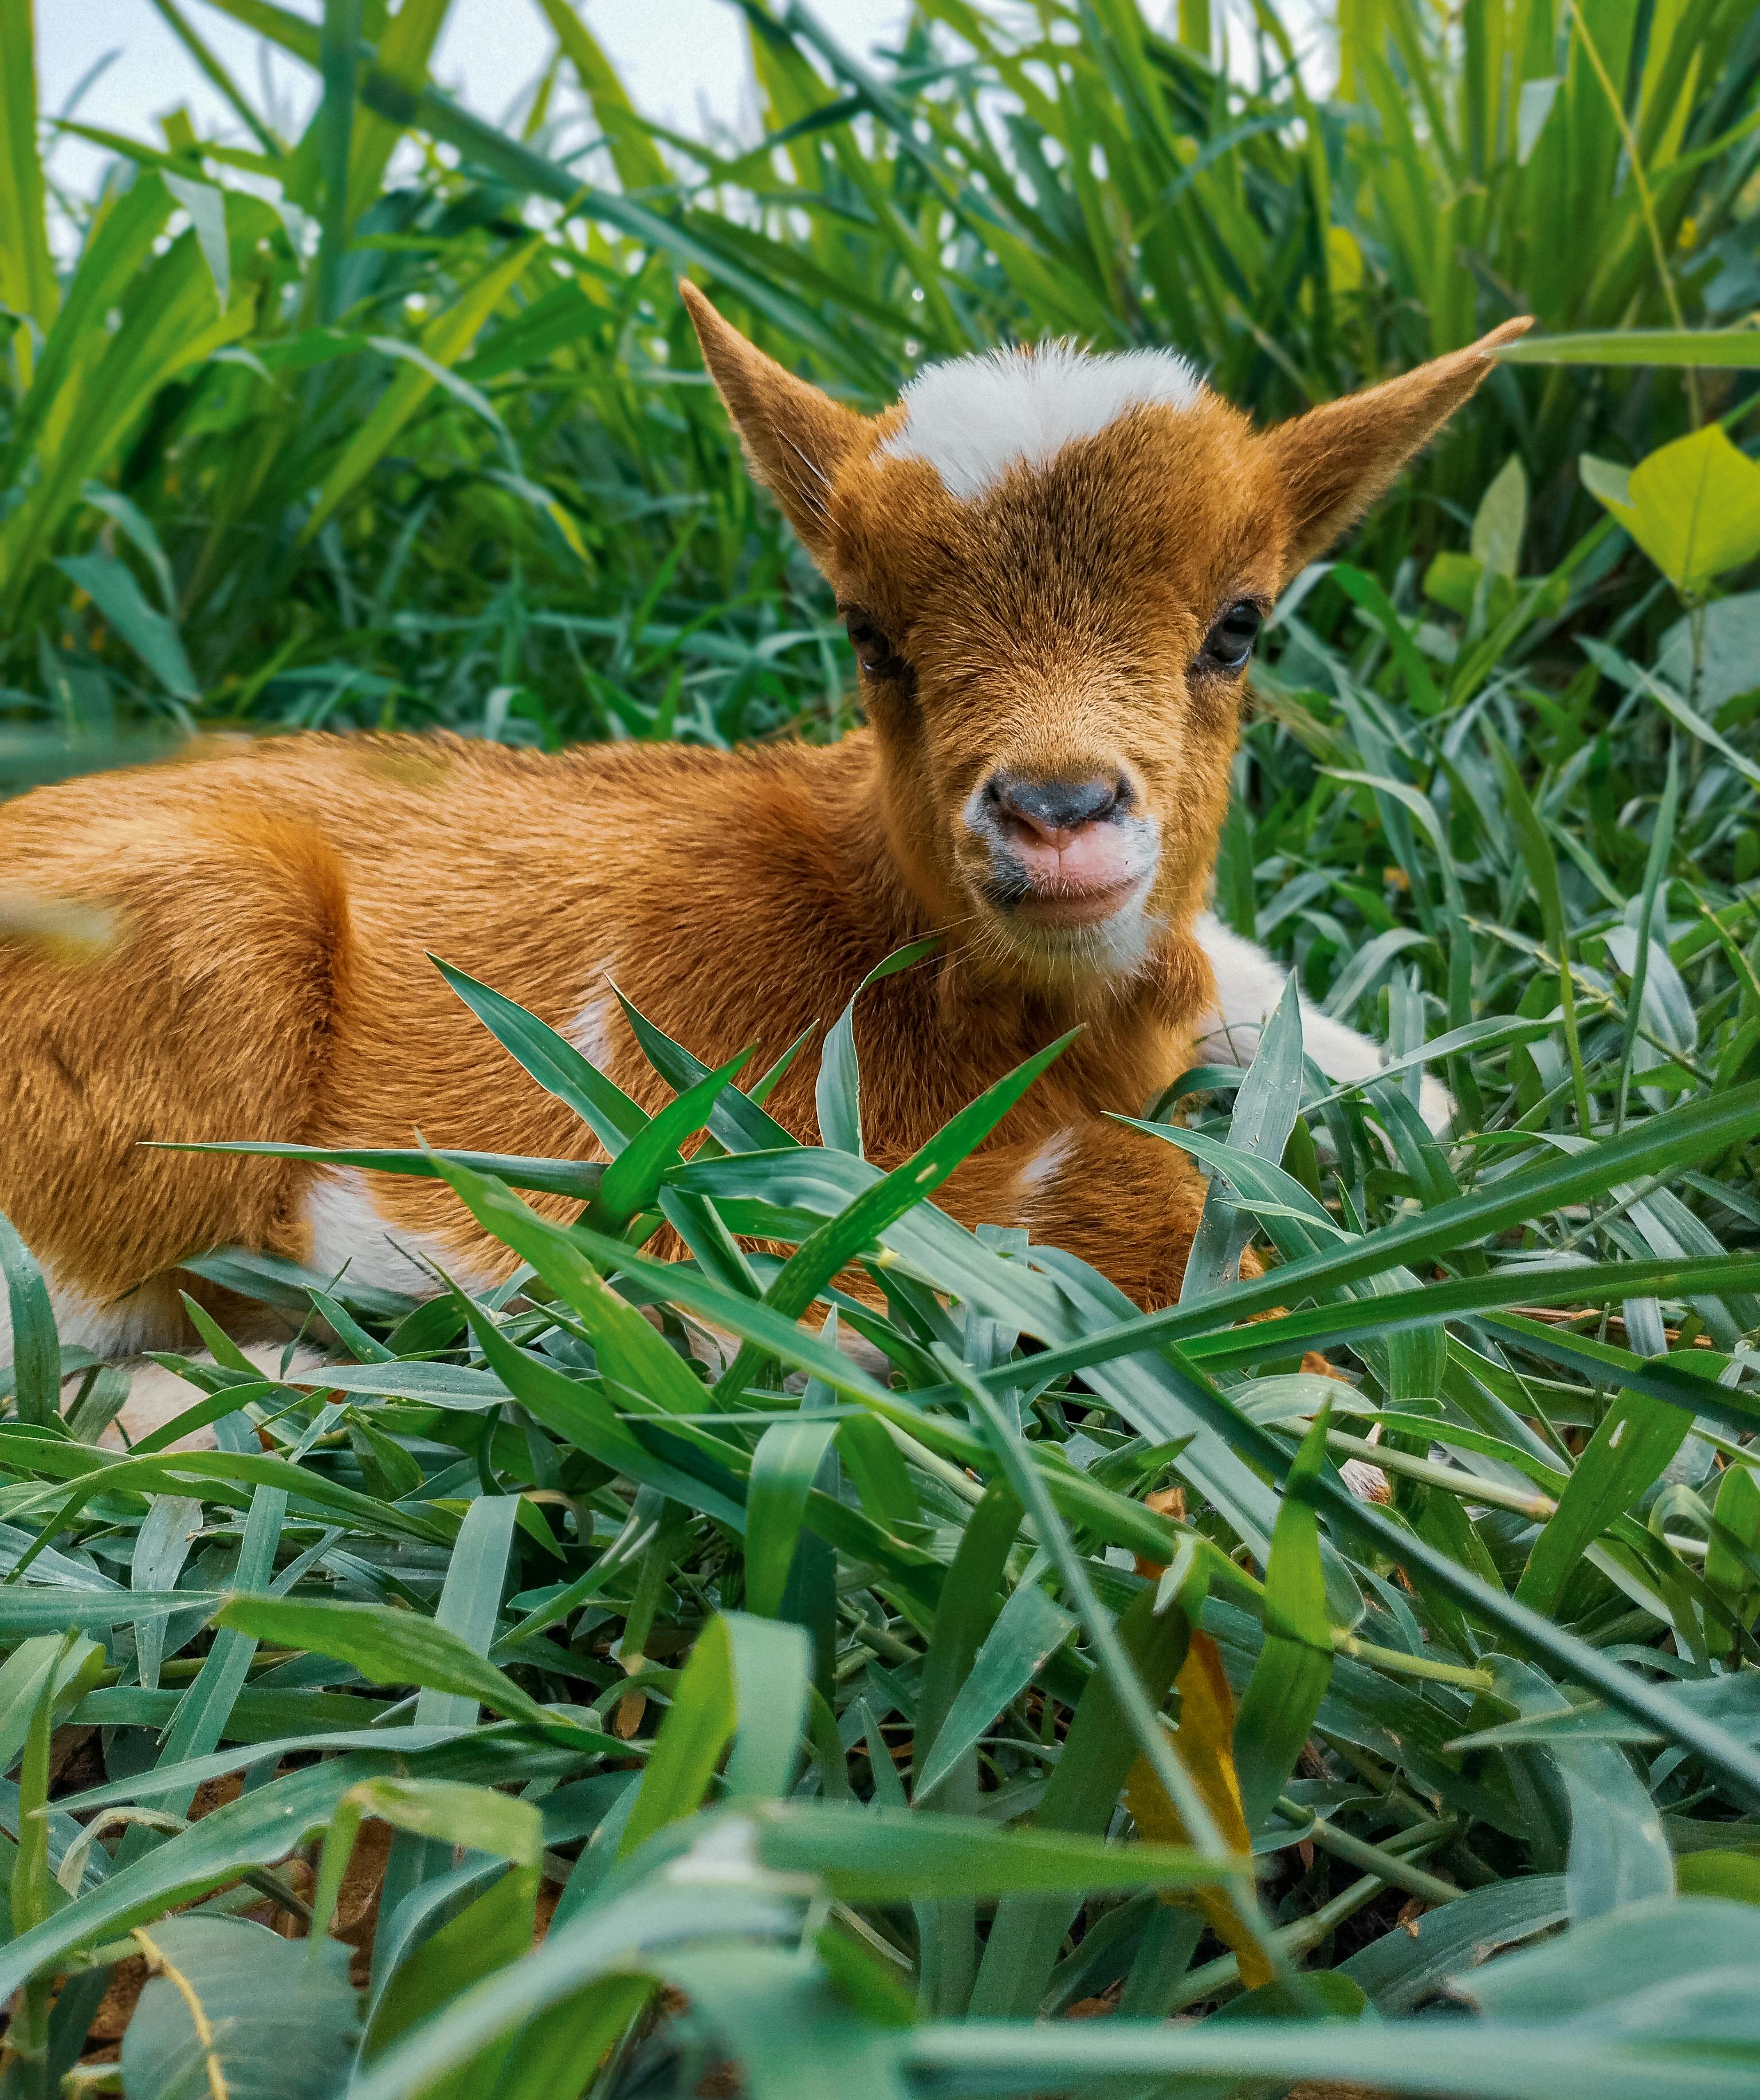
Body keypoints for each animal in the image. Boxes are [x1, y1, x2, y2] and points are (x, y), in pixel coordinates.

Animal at [0, 290, 1526, 1359]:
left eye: (1238, 626)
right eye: (871, 634)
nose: (1057, 813)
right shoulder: (774, 1173)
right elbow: (1083, 1202)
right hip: (203, 934)